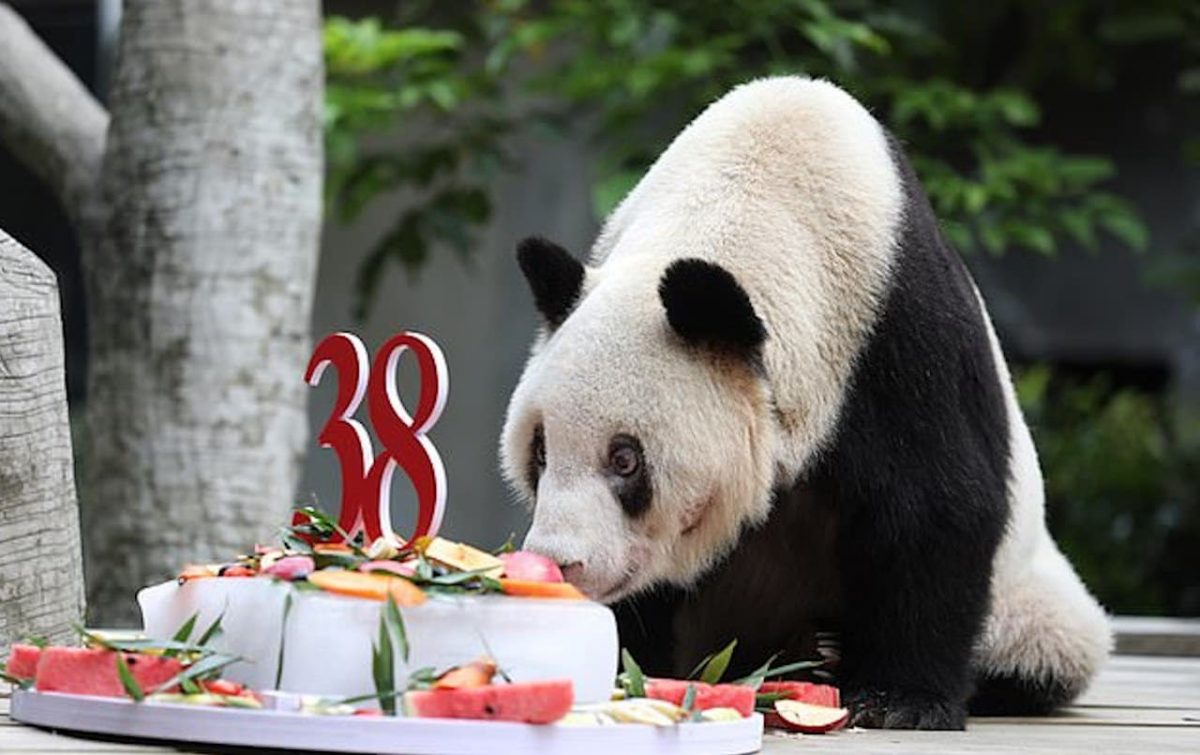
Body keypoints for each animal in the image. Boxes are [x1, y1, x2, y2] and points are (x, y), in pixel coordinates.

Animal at [499, 76, 1111, 730]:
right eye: (540, 451)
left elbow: (937, 504)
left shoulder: (896, 338)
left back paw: (831, 653)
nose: (560, 563)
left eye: (625, 460)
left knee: (1046, 645)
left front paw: (900, 700)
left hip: (1030, 599)